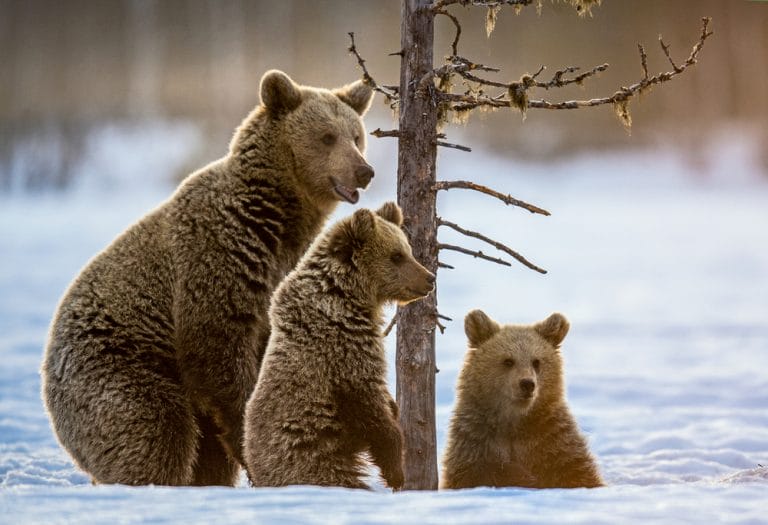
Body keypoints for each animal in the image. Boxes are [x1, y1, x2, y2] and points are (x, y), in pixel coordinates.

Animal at [41, 69, 375, 487]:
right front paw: (251, 439)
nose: (364, 171)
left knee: (200, 451)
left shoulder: (284, 266)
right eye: (327, 136)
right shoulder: (219, 253)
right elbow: (217, 346)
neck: (278, 216)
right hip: (116, 368)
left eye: (357, 135)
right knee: (152, 430)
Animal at [243, 202, 435, 490]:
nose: (429, 278)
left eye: (408, 251)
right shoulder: (342, 354)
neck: (345, 299)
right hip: (313, 460)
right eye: (397, 256)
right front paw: (395, 471)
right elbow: (370, 410)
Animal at [440, 310, 603, 489]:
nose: (527, 384)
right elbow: (475, 474)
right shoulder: (475, 443)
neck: (515, 423)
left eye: (536, 361)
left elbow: (578, 473)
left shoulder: (553, 440)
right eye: (508, 361)